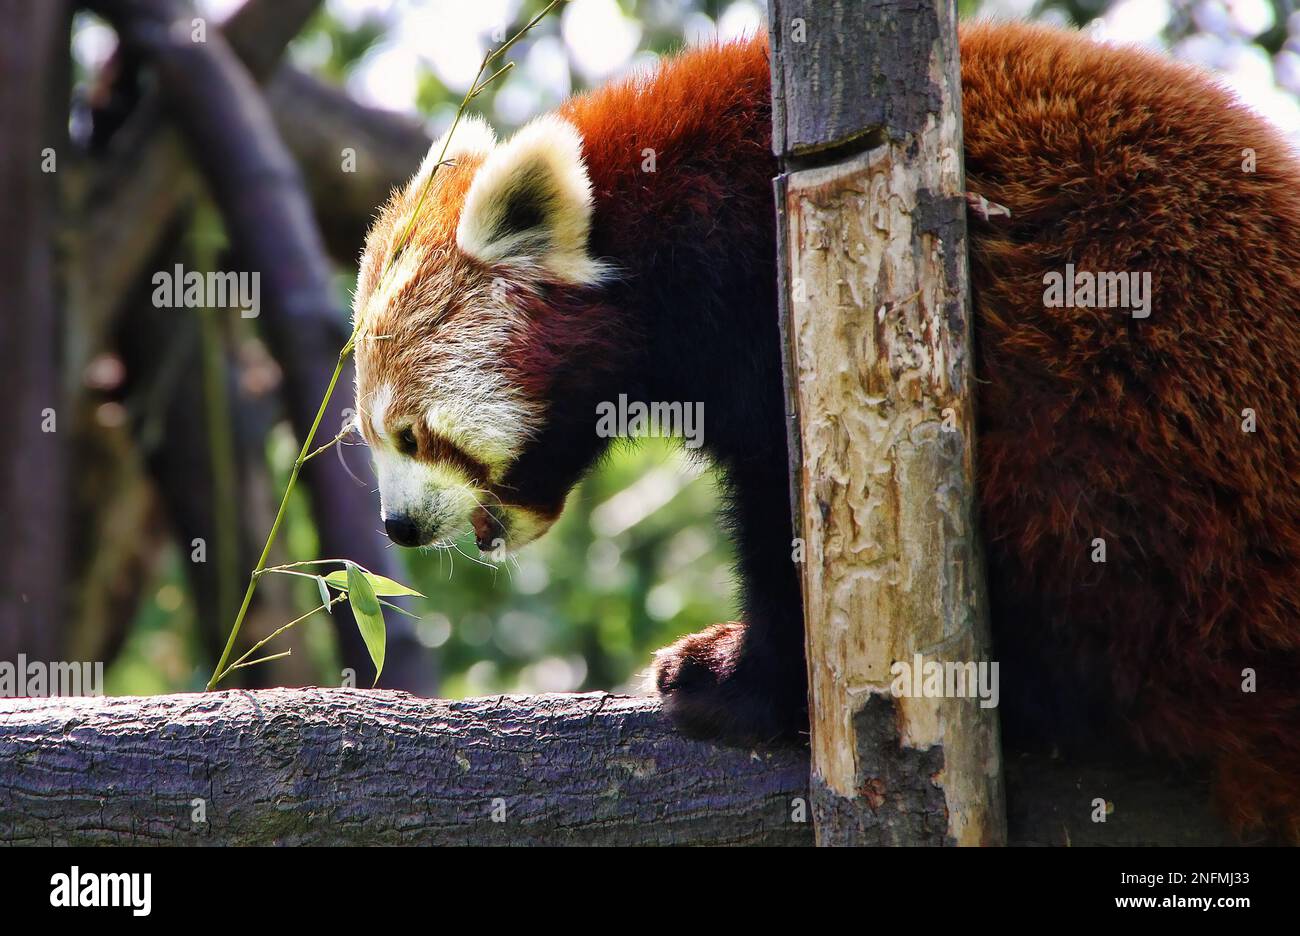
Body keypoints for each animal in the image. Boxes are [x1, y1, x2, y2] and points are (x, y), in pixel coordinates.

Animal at [351, 23, 1300, 840]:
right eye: (371, 437)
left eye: (412, 434)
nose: (398, 527)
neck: (655, 213)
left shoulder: (771, 299)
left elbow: (789, 520)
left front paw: (733, 681)